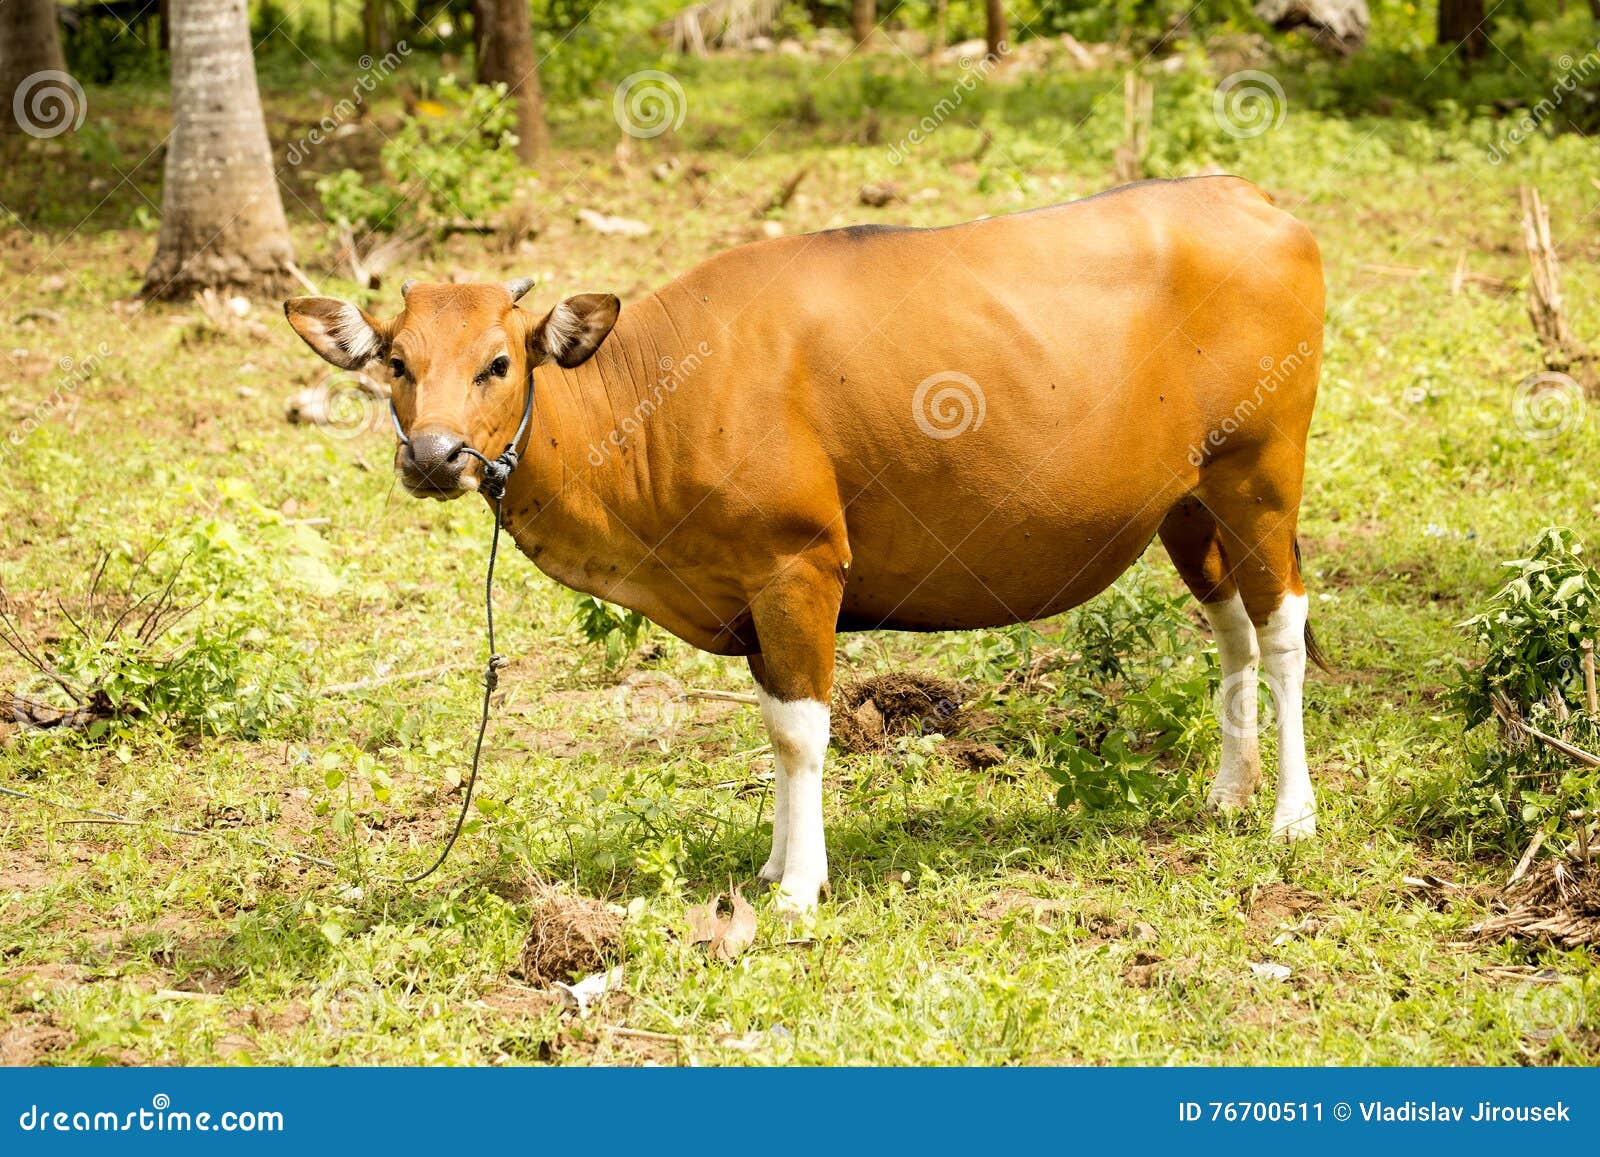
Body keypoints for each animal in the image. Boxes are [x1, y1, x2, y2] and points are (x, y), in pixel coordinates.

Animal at [285, 175, 1325, 914]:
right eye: (397, 362)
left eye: (498, 362)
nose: (432, 456)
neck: (654, 392)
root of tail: (1252, 198)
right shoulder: (750, 591)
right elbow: (774, 722)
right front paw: (776, 860)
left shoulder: (799, 565)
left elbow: (800, 731)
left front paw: (797, 887)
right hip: (1188, 503)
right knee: (1232, 628)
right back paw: (1231, 791)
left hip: (1260, 474)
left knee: (1281, 629)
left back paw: (1291, 813)